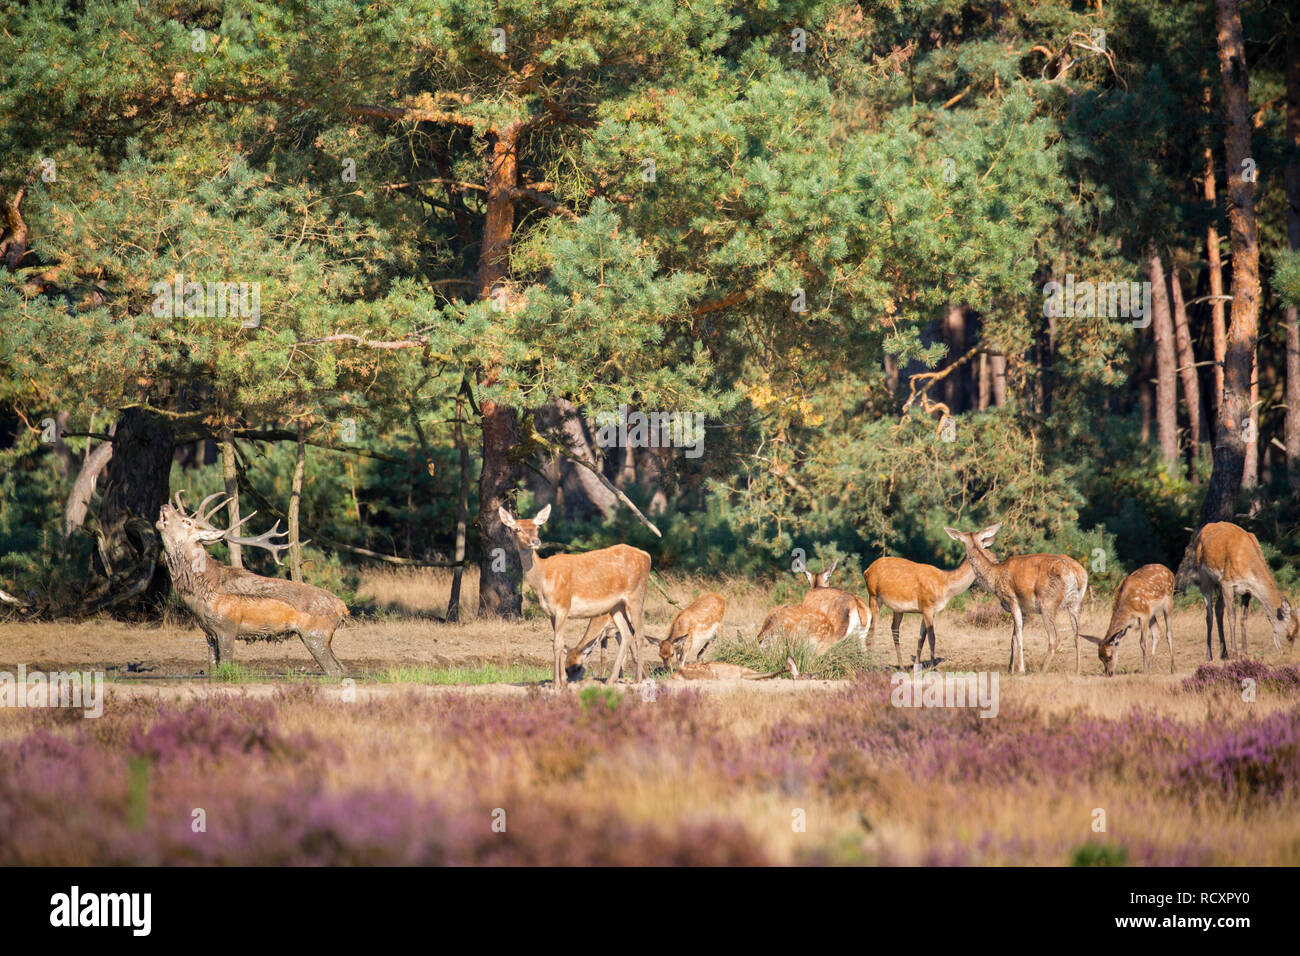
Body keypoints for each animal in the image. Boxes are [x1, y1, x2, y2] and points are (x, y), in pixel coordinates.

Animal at [156, 492, 347, 676]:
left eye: (187, 522)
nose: (164, 505)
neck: (201, 593)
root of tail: (343, 607)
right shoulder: (208, 632)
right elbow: (212, 668)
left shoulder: (227, 626)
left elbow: (225, 665)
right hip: (323, 638)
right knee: (341, 668)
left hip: (315, 634)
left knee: (334, 671)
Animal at [499, 504, 651, 689]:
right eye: (517, 529)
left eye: (537, 527)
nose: (535, 541)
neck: (543, 579)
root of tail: (647, 556)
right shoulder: (551, 612)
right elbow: (558, 642)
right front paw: (563, 681)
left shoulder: (563, 605)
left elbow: (557, 644)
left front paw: (555, 684)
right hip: (617, 605)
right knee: (627, 633)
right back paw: (610, 680)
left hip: (636, 594)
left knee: (640, 633)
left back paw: (637, 679)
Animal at [943, 524, 1087, 674]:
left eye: (962, 541)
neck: (994, 578)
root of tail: (1077, 573)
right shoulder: (1024, 609)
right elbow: (1012, 638)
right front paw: (1010, 669)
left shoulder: (1012, 600)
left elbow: (1018, 636)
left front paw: (1020, 669)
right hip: (1076, 603)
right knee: (1077, 635)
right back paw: (1077, 670)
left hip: (1048, 602)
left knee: (1055, 638)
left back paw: (1042, 670)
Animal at [1187, 522, 1299, 660]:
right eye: (1289, 635)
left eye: (1296, 635)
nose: (1287, 655)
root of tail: (1204, 528)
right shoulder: (1227, 582)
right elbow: (1232, 617)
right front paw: (1235, 653)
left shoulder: (1247, 591)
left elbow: (1243, 618)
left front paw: (1244, 653)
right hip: (1204, 576)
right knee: (1209, 614)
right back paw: (1209, 655)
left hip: (1219, 585)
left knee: (1218, 608)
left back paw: (1224, 653)